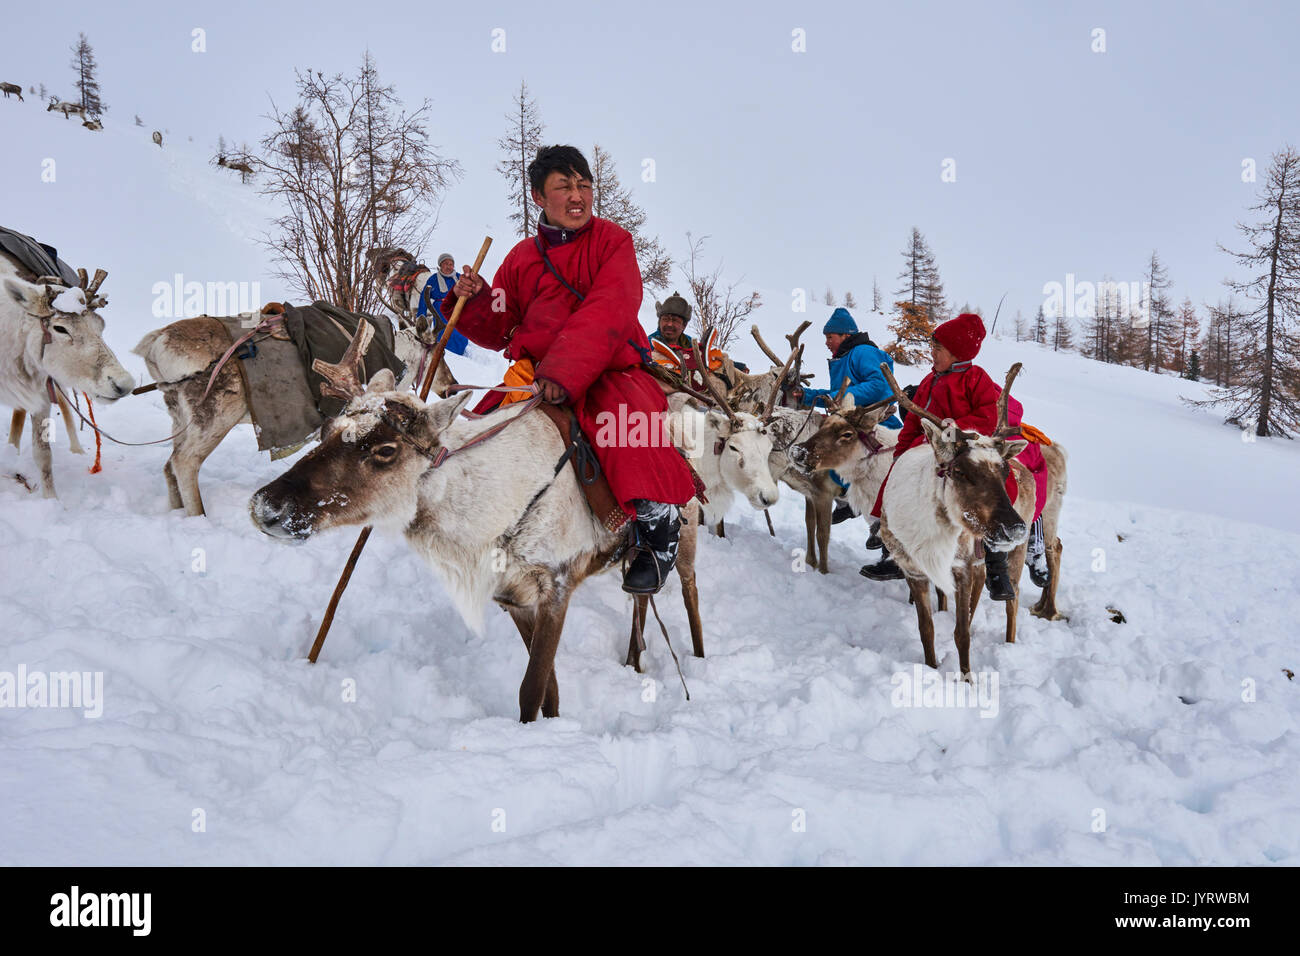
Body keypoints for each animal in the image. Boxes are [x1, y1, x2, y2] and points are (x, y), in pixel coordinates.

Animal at [1, 256, 134, 497]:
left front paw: (51, 500)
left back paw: (76, 450)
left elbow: (43, 455)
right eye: (60, 328)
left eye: (101, 326)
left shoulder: (42, 390)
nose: (124, 384)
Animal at [249, 323, 713, 722]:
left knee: (689, 590)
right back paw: (634, 660)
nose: (266, 507)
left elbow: (531, 688)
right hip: (628, 556)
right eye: (328, 428)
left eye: (385, 450)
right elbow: (547, 692)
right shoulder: (514, 599)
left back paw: (700, 658)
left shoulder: (556, 588)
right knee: (640, 597)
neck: (492, 514)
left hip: (688, 530)